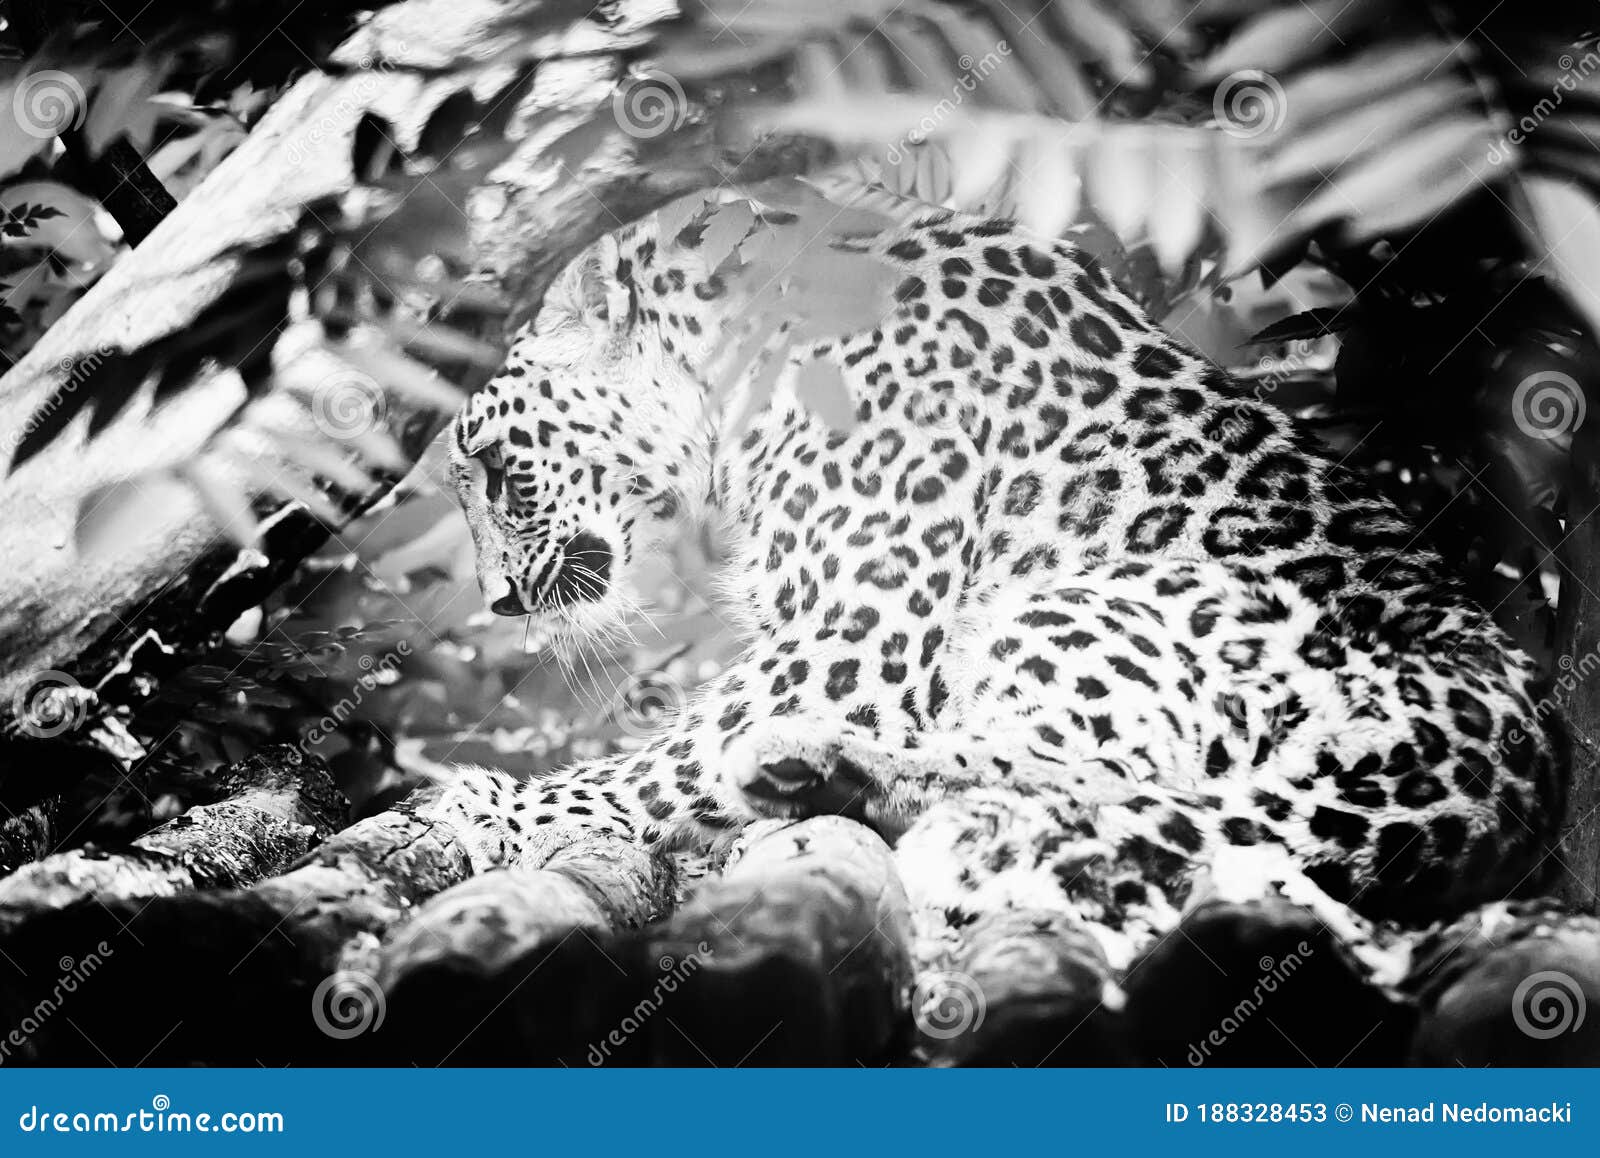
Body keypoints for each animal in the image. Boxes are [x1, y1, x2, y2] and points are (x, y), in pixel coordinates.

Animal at [431, 186, 1565, 995]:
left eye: (495, 468)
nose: (497, 601)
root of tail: (1515, 763)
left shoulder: (852, 639)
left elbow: (659, 760)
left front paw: (490, 808)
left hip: (1094, 608)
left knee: (1082, 783)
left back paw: (823, 769)